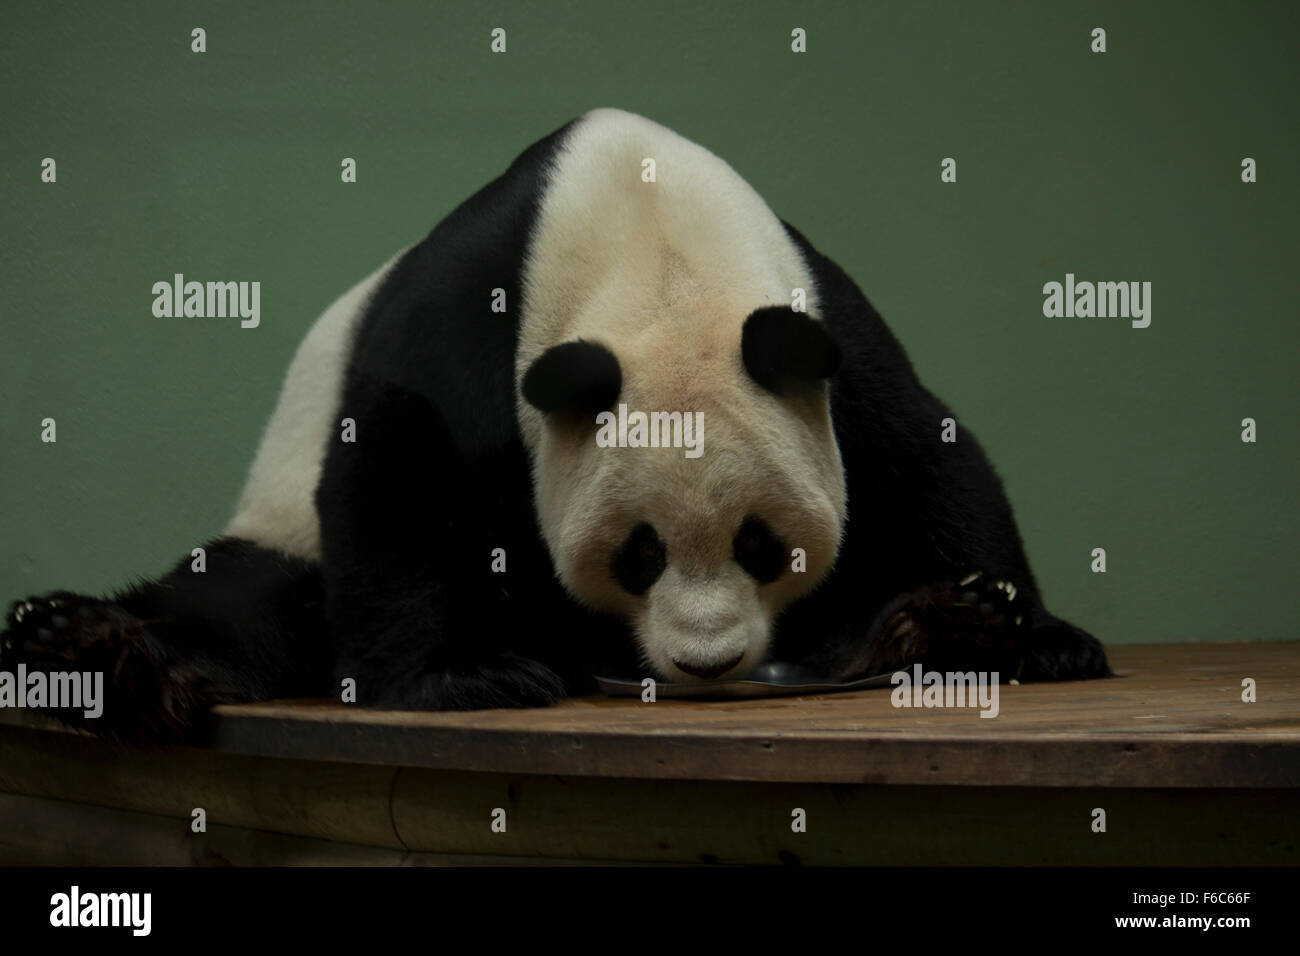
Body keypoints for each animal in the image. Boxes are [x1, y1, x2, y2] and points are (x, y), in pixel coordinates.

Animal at [1, 108, 1109, 744]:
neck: (653, 248)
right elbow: (398, 466)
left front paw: (1010, 624)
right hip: (279, 531)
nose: (708, 664)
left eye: (762, 544)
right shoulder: (472, 308)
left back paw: (917, 625)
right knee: (246, 605)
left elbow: (921, 454)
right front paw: (468, 676)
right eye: (640, 551)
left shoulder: (820, 324)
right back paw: (88, 650)